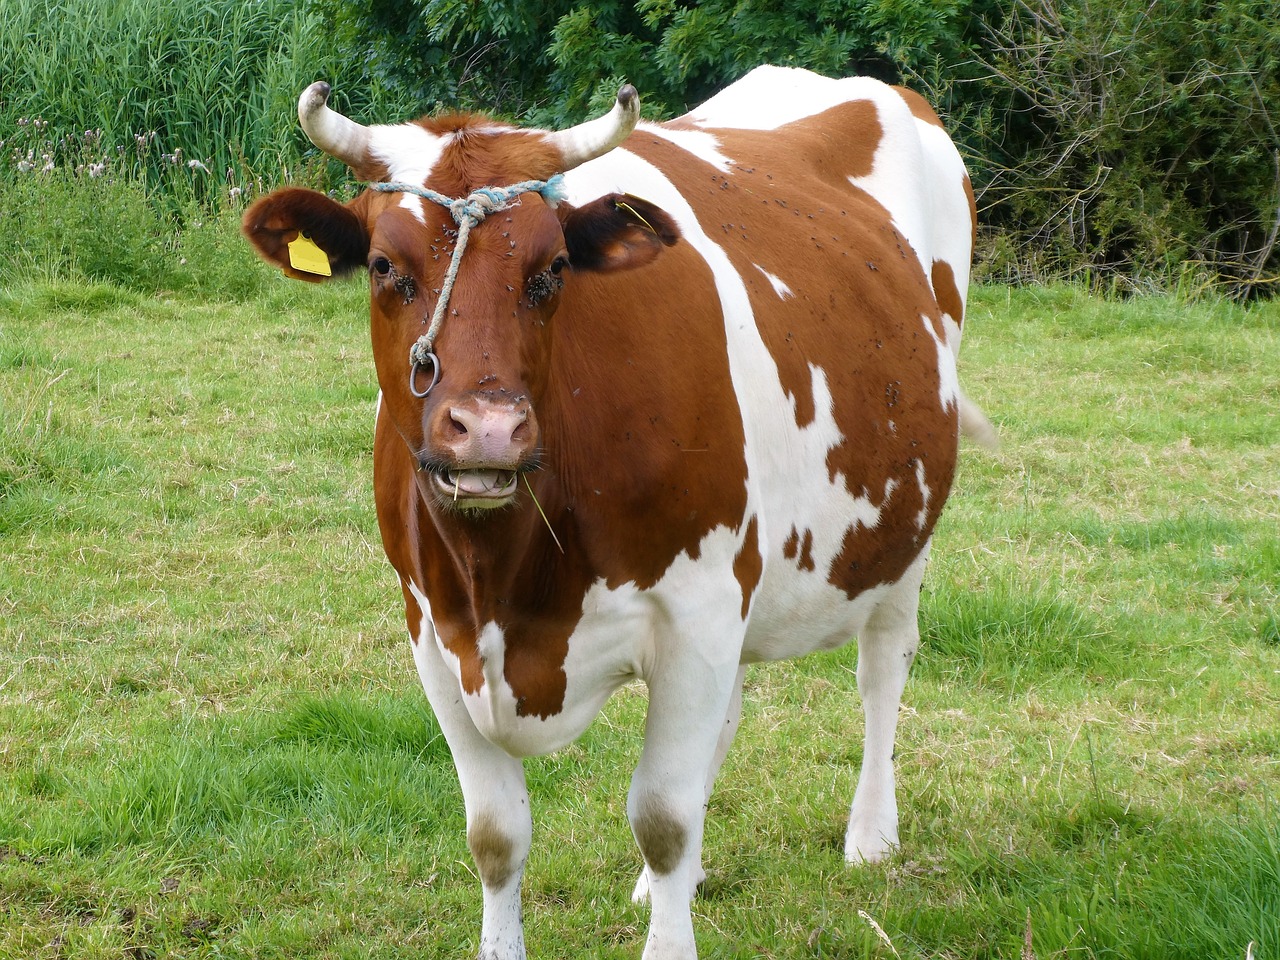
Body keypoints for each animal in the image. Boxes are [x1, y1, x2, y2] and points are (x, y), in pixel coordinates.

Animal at [244, 65, 993, 960]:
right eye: (386, 265)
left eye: (554, 268)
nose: (487, 429)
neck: (505, 582)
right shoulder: (432, 627)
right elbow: (495, 834)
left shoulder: (697, 612)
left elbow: (662, 820)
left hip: (900, 531)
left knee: (883, 666)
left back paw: (872, 835)